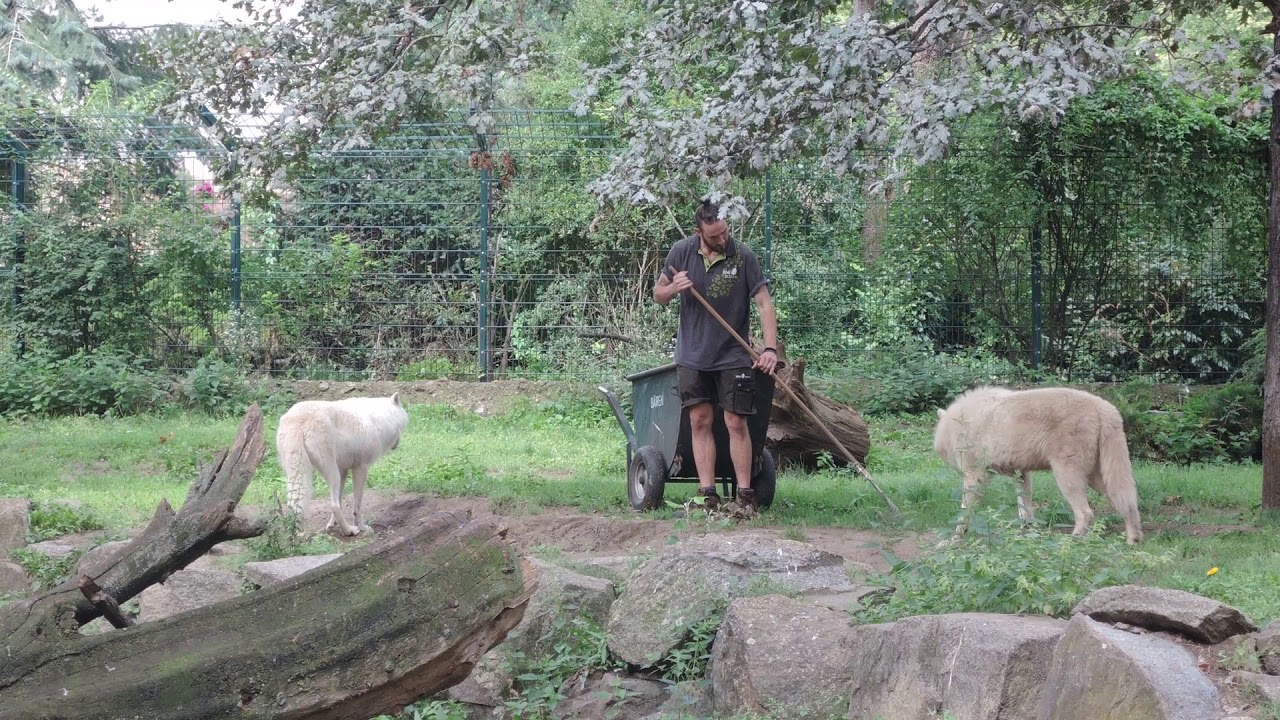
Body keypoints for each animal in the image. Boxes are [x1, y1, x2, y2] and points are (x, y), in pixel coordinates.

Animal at [276, 393, 409, 536]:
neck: (379, 420)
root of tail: (300, 420)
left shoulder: (343, 470)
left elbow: (340, 500)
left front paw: (331, 525)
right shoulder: (361, 468)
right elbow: (357, 505)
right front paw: (362, 527)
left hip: (298, 473)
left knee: (294, 504)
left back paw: (300, 535)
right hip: (331, 472)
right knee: (333, 504)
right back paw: (349, 530)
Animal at [933, 385, 1143, 544]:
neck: (956, 423)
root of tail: (1104, 407)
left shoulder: (975, 475)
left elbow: (964, 509)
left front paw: (955, 537)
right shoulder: (1020, 472)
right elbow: (1024, 503)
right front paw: (1028, 529)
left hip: (1066, 473)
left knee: (1086, 512)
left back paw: (1074, 539)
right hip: (1098, 475)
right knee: (1126, 500)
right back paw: (1133, 539)